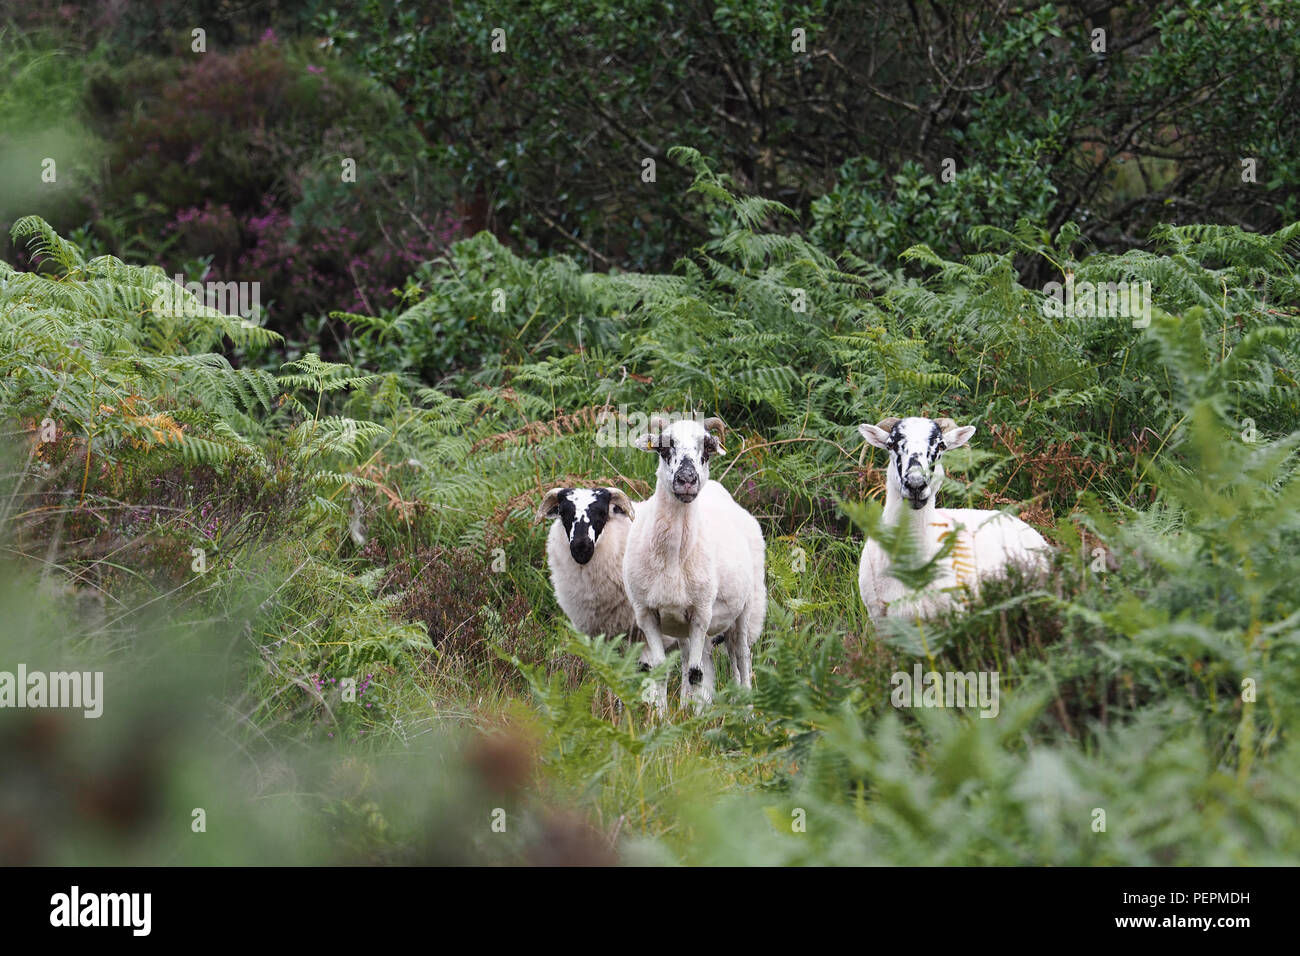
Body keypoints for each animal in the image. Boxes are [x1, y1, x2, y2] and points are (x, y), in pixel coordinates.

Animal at [622, 416, 767, 711]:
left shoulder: (701, 613)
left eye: (707, 449)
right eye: (664, 447)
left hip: (745, 609)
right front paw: (663, 718)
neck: (673, 558)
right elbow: (662, 670)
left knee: (741, 659)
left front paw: (696, 720)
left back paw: (746, 712)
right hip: (684, 627)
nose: (687, 480)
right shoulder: (646, 614)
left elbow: (696, 674)